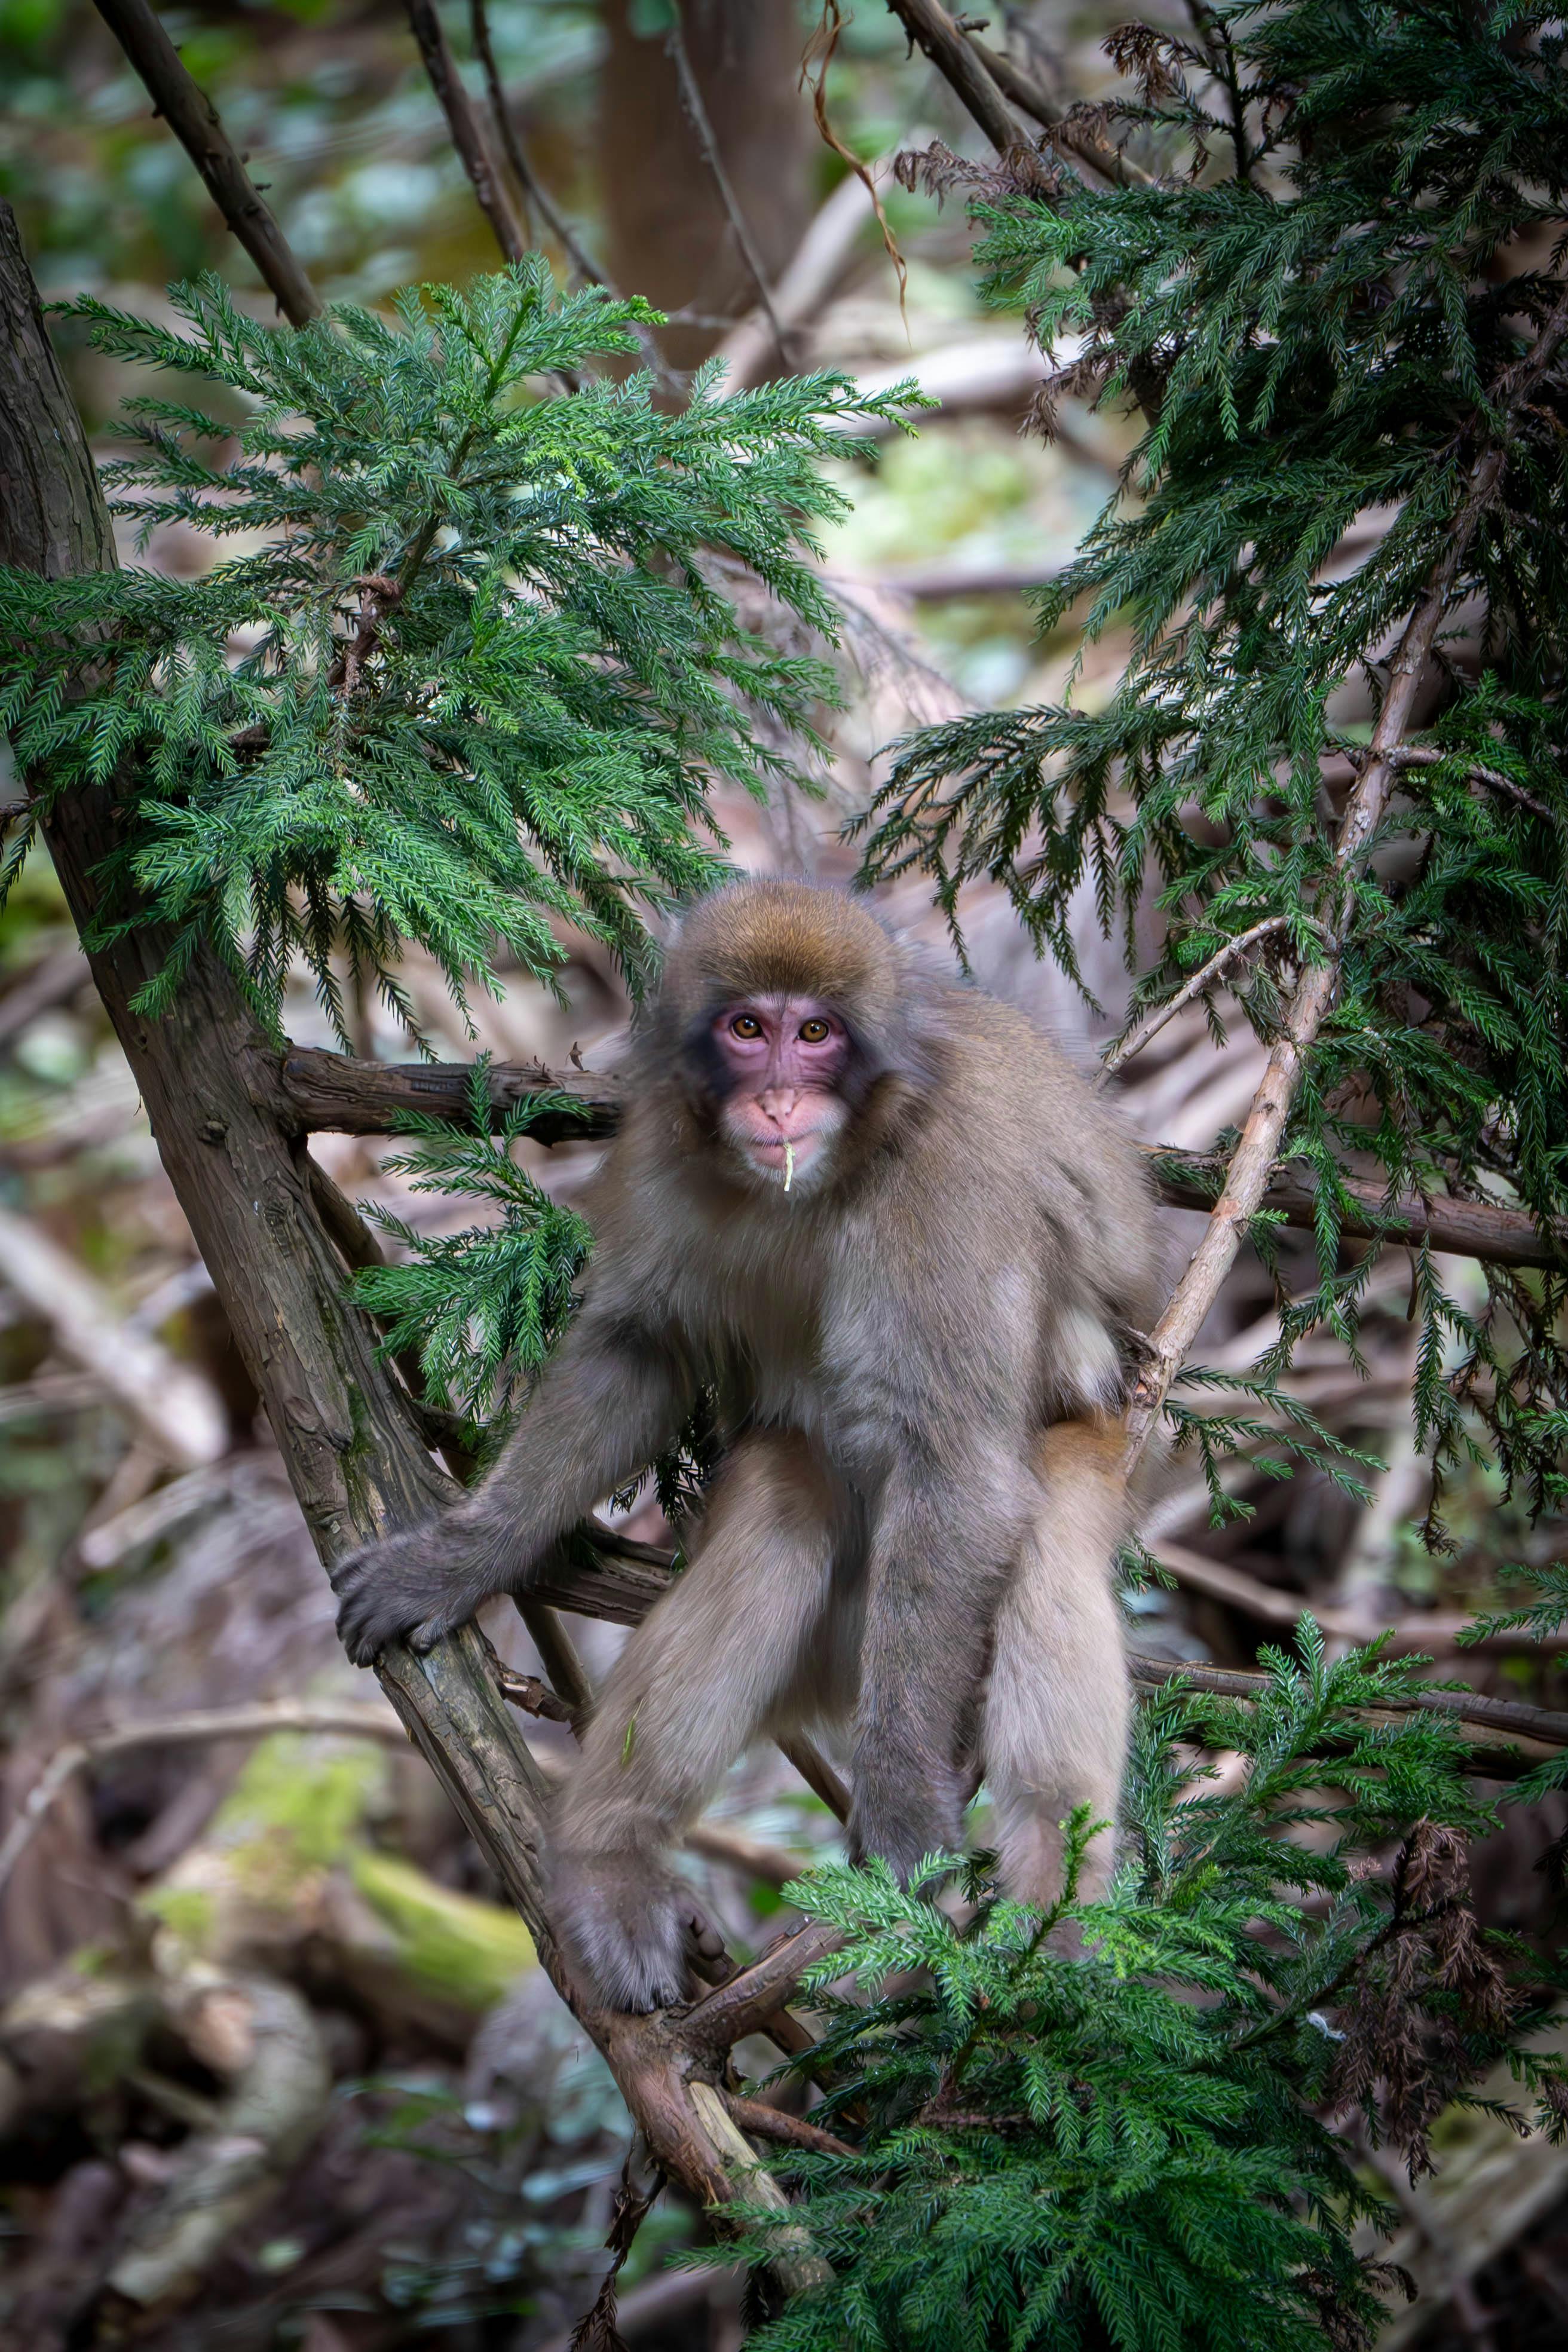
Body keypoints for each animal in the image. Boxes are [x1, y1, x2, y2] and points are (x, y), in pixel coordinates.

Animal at [330, 880, 1163, 2011]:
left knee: (1045, 1534)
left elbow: (957, 1467)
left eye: (814, 1035)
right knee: (779, 1504)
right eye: (747, 1030)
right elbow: (637, 1353)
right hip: (824, 1644)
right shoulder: (659, 1147)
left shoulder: (947, 1192)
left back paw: (1051, 1924)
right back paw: (609, 1861)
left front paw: (901, 1808)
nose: (775, 1103)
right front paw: (459, 1558)